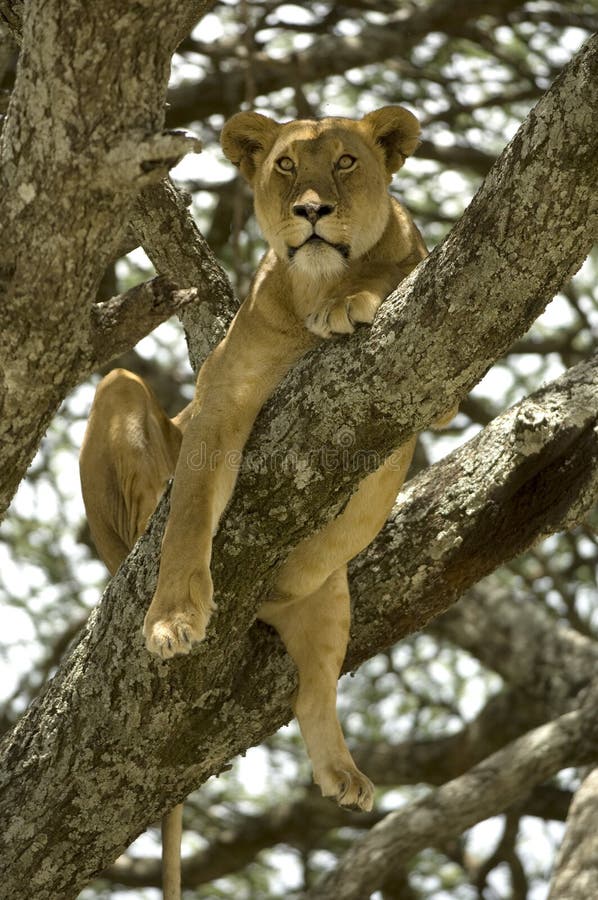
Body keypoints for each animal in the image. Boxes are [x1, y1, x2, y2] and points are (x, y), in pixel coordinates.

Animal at [80, 106, 441, 898]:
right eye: (285, 166)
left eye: (345, 163)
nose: (311, 211)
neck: (311, 289)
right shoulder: (220, 401)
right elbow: (189, 519)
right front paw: (173, 620)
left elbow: (387, 283)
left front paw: (355, 302)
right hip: (120, 385)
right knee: (138, 510)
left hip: (331, 592)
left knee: (313, 692)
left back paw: (343, 774)